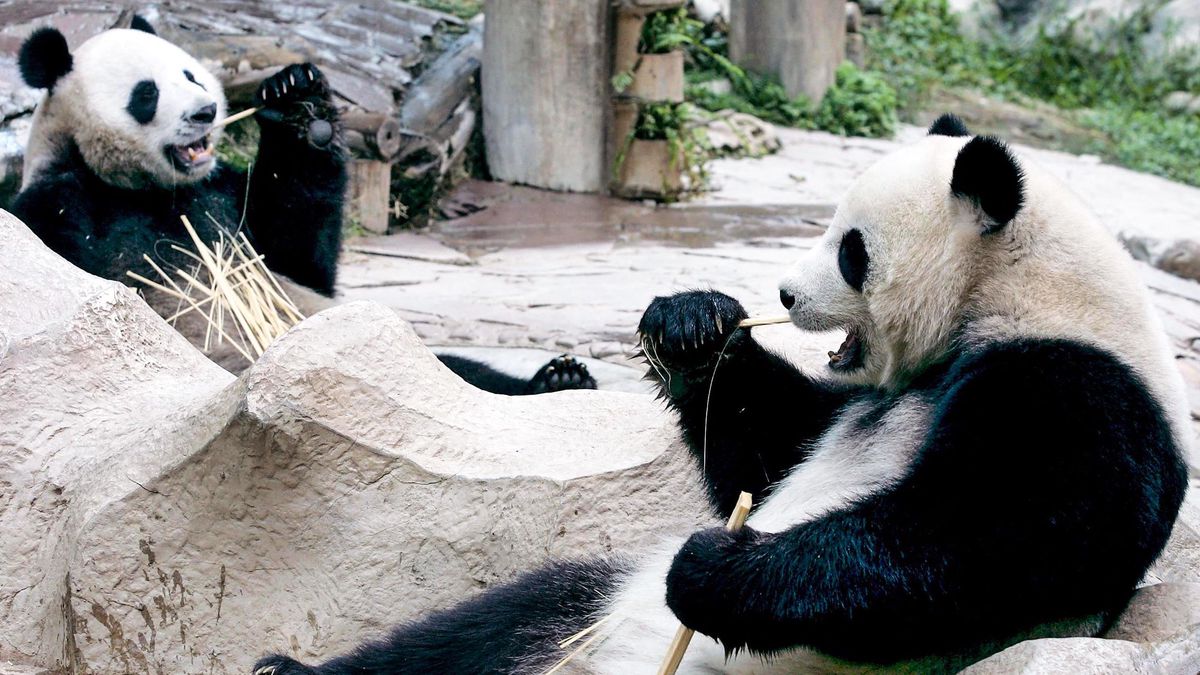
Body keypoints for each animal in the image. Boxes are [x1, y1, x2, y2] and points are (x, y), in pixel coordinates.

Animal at [9, 19, 595, 394]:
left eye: (190, 75)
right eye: (147, 93)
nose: (204, 113)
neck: (145, 186)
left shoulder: (224, 198)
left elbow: (300, 257)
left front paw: (299, 102)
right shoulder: (60, 202)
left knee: (458, 375)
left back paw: (558, 379)